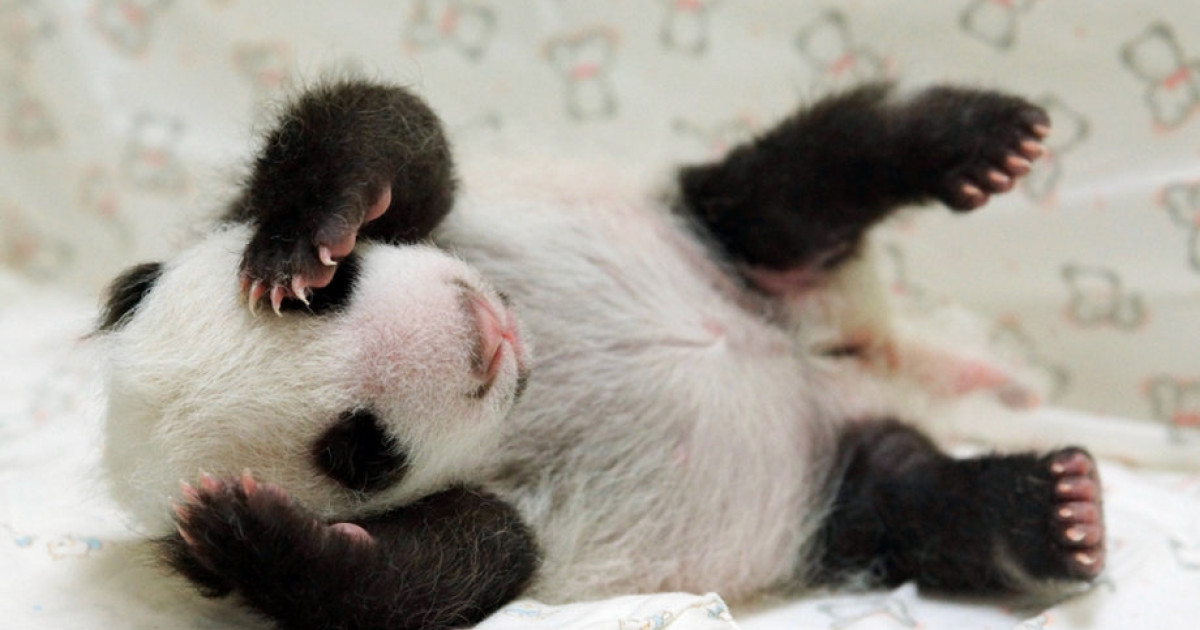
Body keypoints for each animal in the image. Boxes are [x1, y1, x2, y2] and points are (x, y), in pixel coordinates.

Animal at [96, 79, 1105, 630]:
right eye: (358, 448)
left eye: (340, 295)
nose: (478, 335)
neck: (531, 371)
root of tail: (858, 359)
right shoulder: (494, 516)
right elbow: (425, 580)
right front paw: (249, 534)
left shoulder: (446, 222)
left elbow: (390, 135)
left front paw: (303, 237)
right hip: (829, 499)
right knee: (911, 503)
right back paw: (1056, 509)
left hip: (711, 232)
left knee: (801, 177)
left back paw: (979, 141)